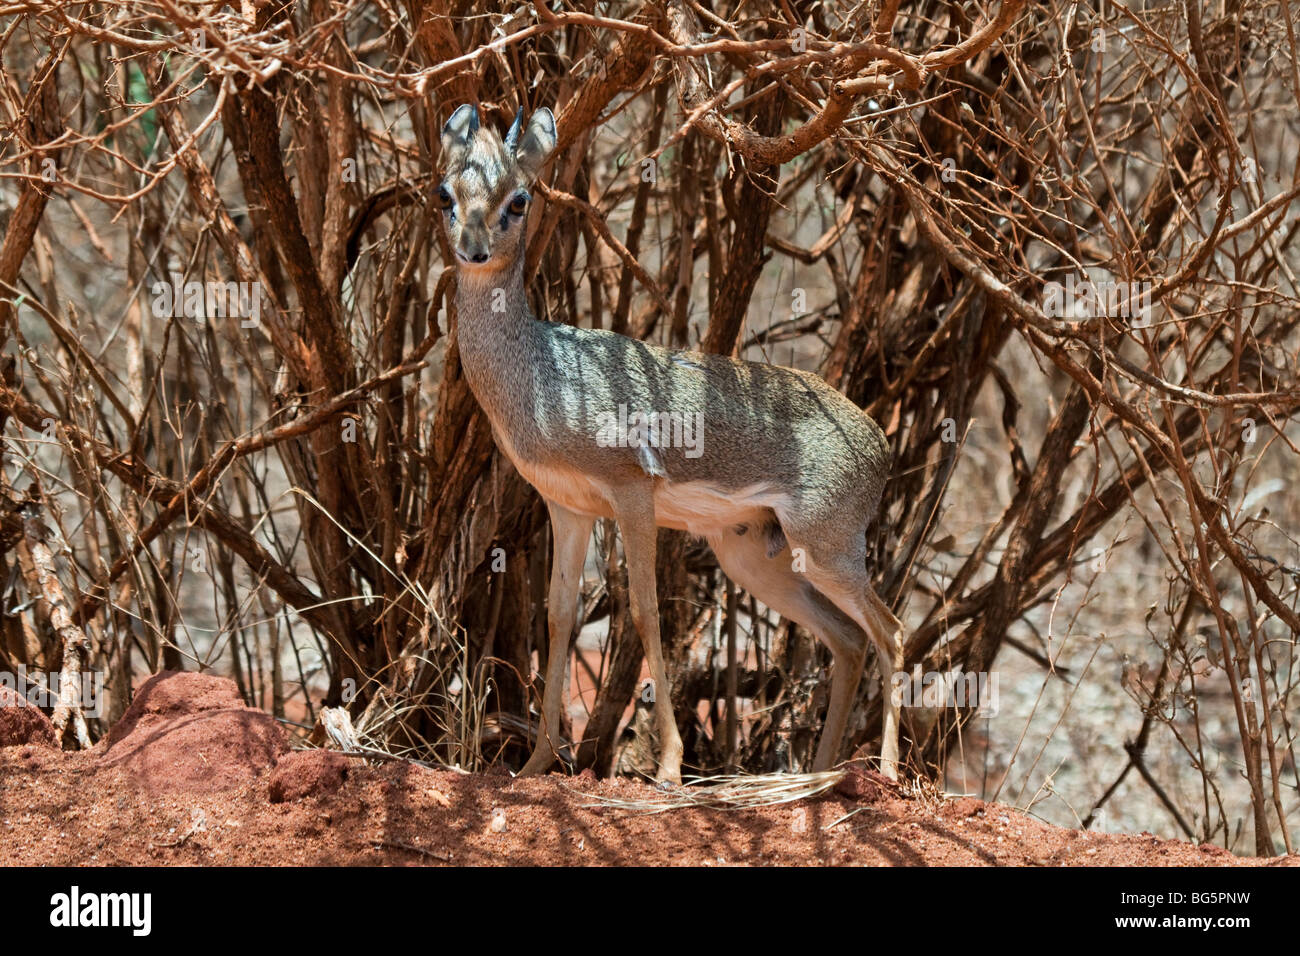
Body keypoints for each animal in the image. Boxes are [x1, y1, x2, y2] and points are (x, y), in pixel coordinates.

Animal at [438, 103, 905, 785]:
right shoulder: (568, 508)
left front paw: (667, 767)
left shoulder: (632, 493)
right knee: (847, 640)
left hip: (826, 548)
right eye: (447, 194)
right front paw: (537, 764)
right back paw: (816, 774)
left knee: (890, 631)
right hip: (754, 558)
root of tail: (879, 442)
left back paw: (888, 771)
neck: (542, 372)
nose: (473, 252)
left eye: (518, 199)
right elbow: (556, 618)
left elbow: (645, 614)